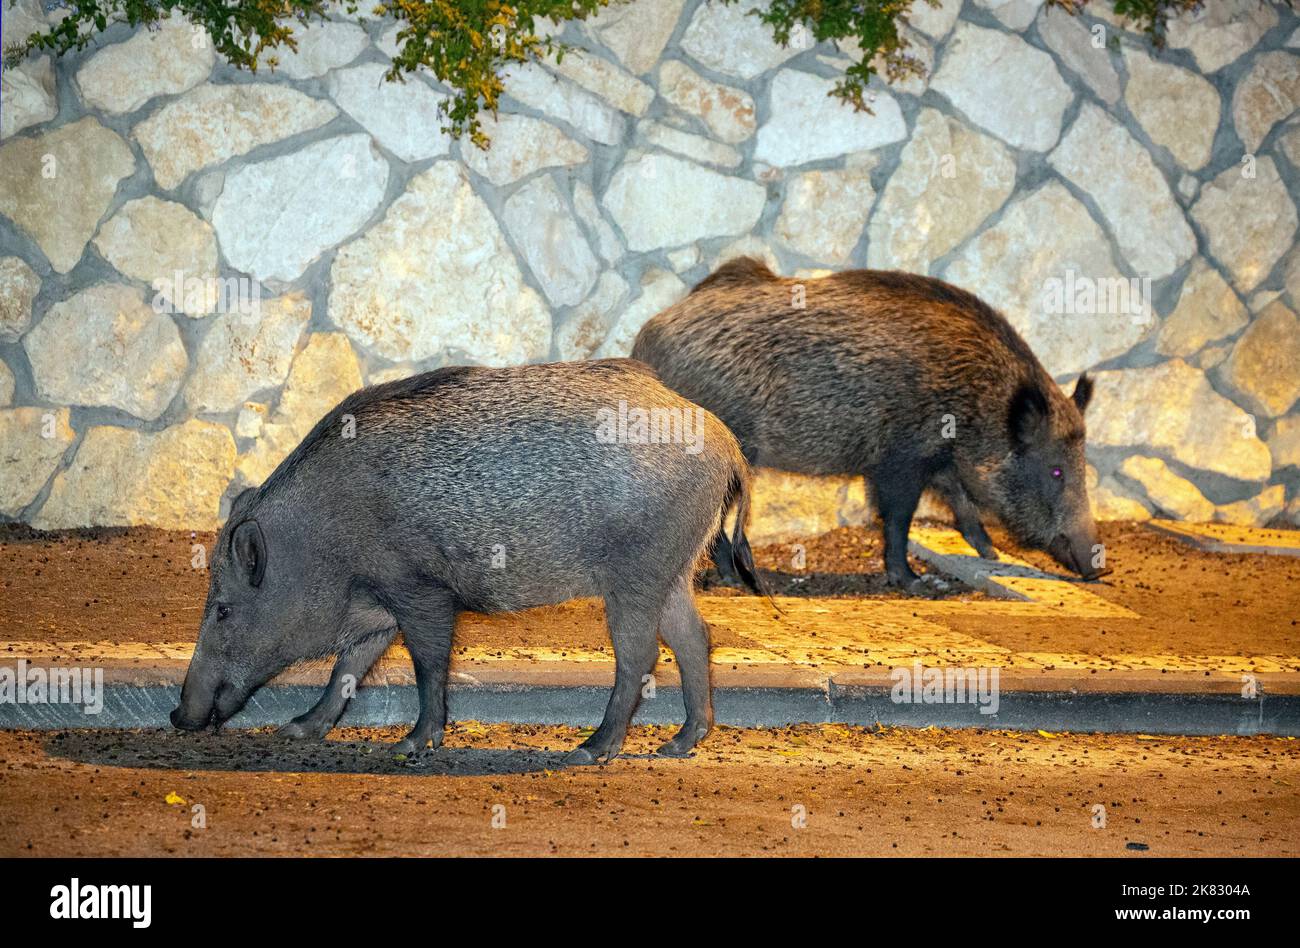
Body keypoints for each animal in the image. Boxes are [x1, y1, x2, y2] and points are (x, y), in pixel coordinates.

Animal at [171, 359, 759, 764]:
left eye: (222, 609)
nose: (178, 715)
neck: (324, 539)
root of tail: (727, 444)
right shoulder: (375, 610)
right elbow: (347, 669)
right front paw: (297, 730)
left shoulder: (419, 589)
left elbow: (428, 664)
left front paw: (411, 746)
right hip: (674, 570)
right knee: (694, 637)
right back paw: (679, 745)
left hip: (637, 572)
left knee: (640, 655)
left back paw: (589, 751)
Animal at [631, 258, 1105, 589]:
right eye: (1056, 470)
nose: (1099, 566)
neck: (975, 398)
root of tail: (647, 340)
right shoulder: (900, 459)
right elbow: (898, 519)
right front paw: (911, 583)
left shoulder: (938, 459)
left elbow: (962, 504)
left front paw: (991, 555)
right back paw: (731, 580)